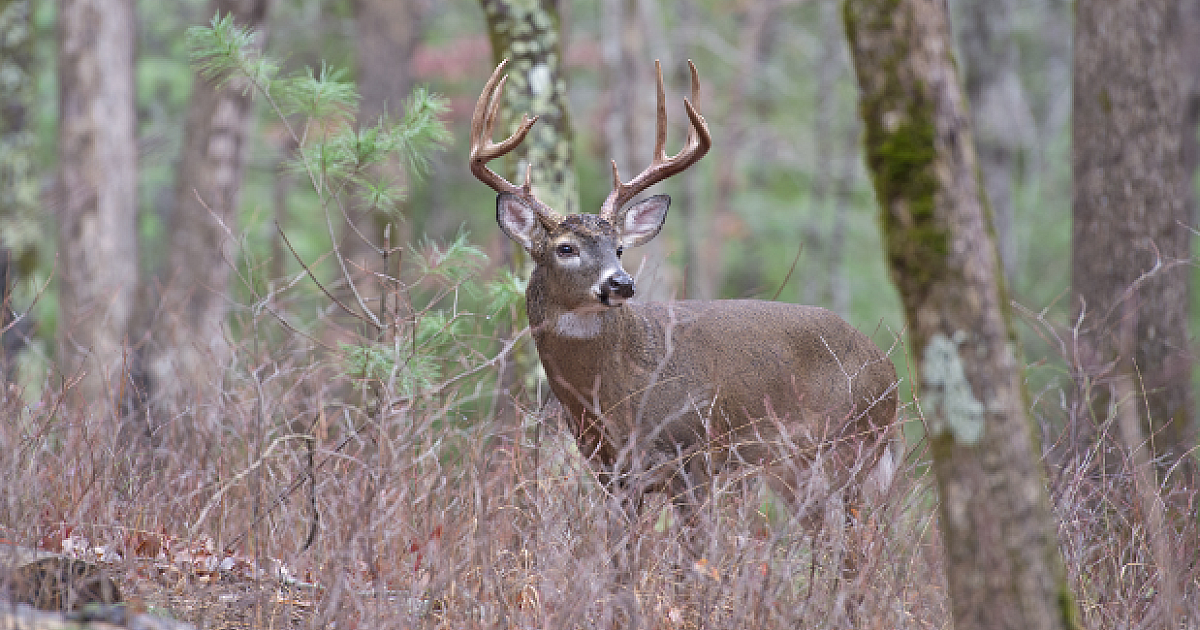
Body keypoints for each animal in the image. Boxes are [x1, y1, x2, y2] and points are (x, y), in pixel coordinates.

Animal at [470, 59, 900, 547]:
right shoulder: (611, 472)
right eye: (565, 248)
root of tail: (889, 370)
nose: (621, 284)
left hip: (853, 443)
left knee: (856, 539)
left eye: (619, 248)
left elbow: (694, 555)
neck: (615, 395)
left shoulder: (691, 456)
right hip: (795, 468)